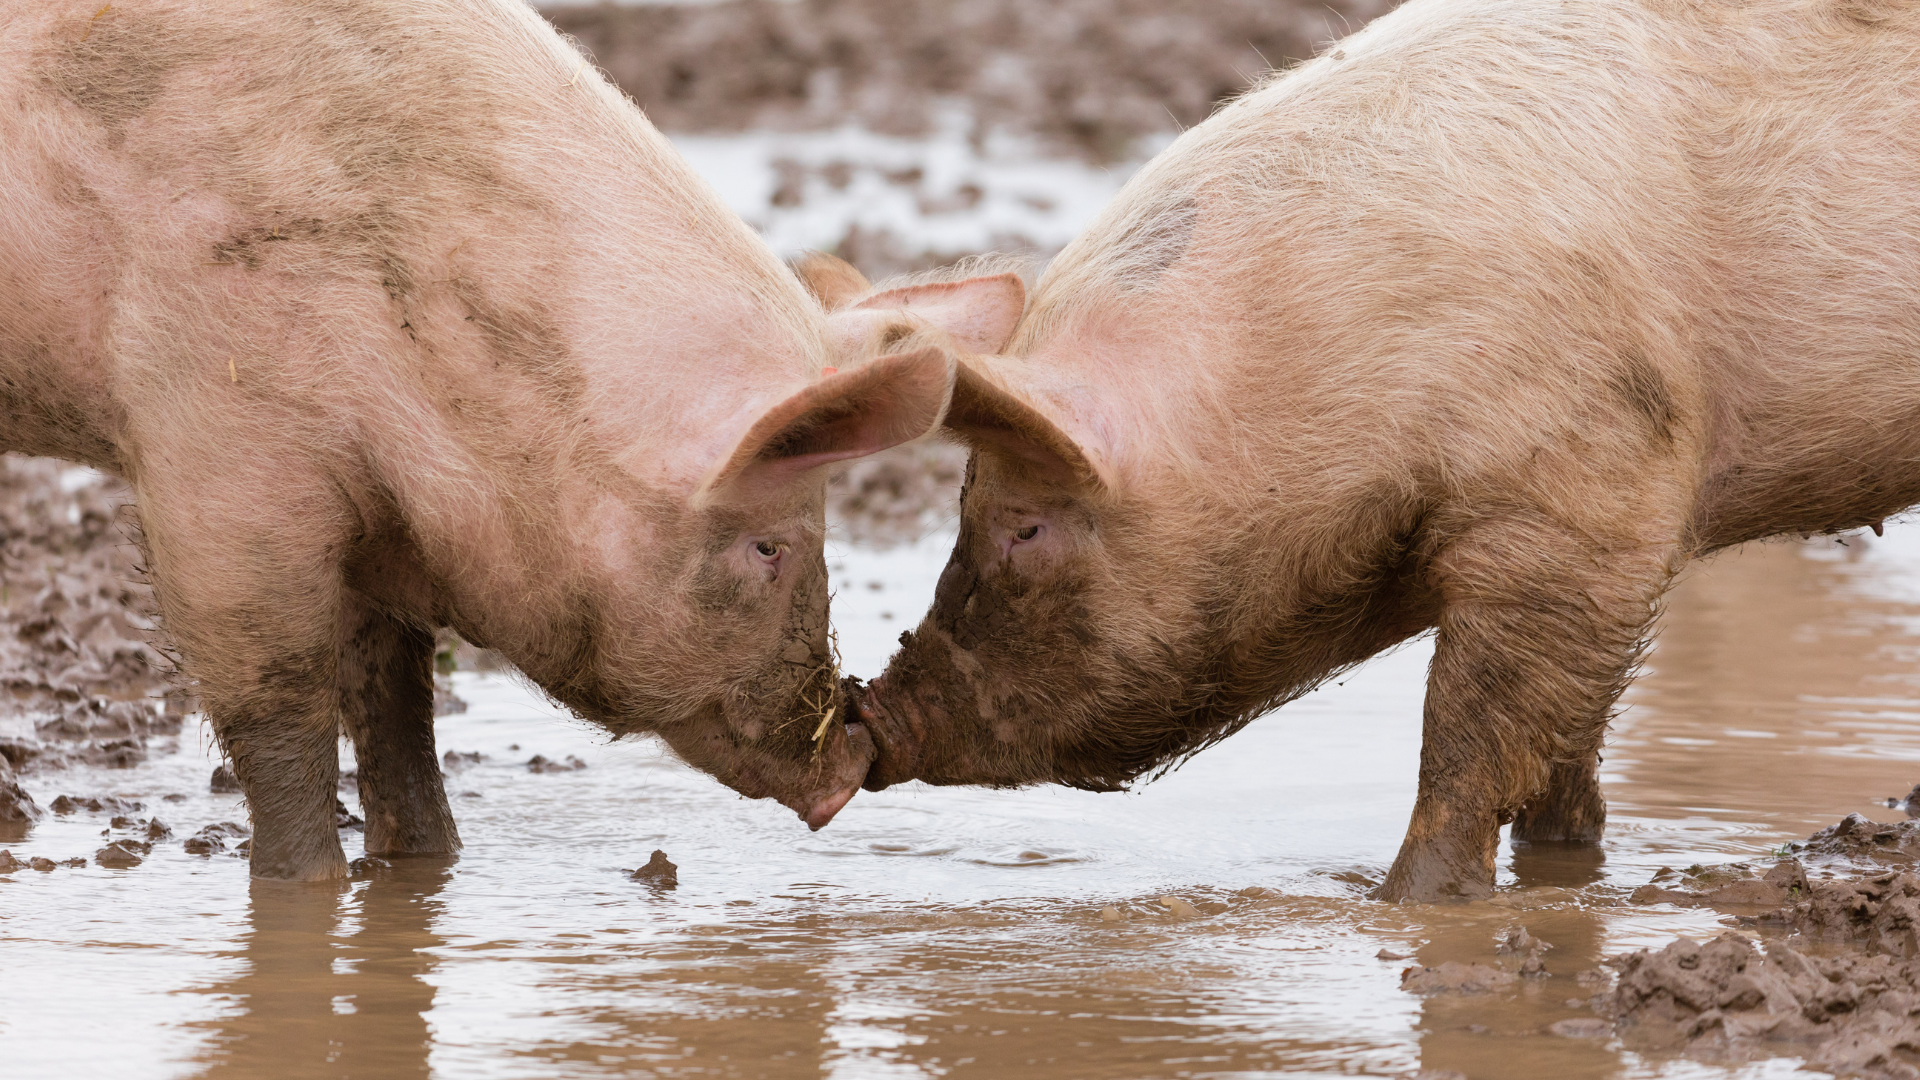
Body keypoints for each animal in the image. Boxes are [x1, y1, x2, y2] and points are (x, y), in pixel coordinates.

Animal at [0, 0, 956, 880]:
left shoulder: (380, 505)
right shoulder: (217, 446)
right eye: (768, 548)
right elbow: (280, 696)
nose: (851, 767)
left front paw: (428, 864)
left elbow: (394, 694)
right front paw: (306, 886)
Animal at [832, 0, 1920, 900]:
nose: (861, 711)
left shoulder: (1584, 497)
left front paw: (1406, 903)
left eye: (1024, 528)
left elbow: (1477, 735)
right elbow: (1567, 750)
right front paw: (1566, 871)